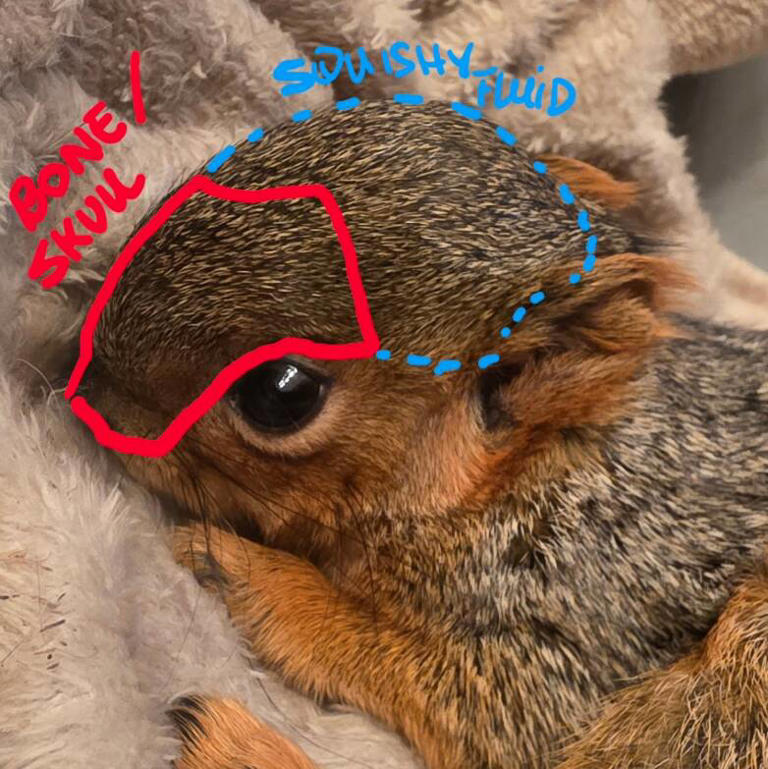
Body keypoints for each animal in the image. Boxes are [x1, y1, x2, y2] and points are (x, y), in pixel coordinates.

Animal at [78, 100, 768, 769]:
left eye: (279, 394)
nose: (91, 392)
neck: (533, 469)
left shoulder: (598, 607)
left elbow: (468, 698)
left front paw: (262, 578)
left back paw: (238, 747)